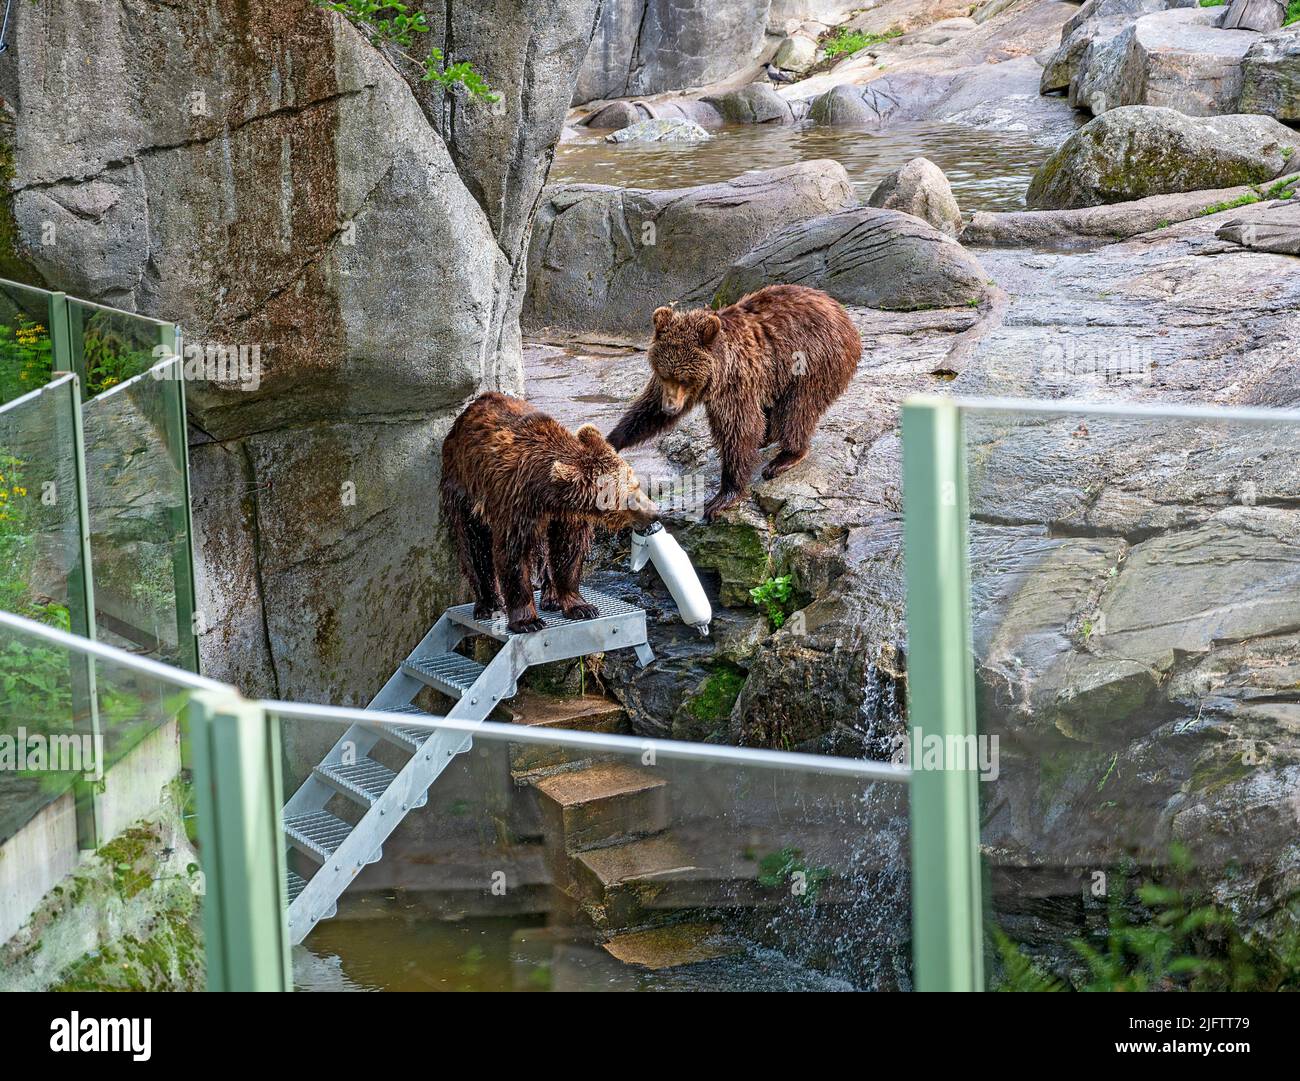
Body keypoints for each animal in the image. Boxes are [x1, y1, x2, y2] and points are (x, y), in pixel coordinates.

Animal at [440, 392, 659, 634]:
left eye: (636, 484)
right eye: (627, 498)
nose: (654, 513)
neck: (548, 496)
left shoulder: (567, 515)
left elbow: (568, 551)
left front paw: (580, 606)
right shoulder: (515, 506)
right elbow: (512, 555)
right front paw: (527, 621)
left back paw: (551, 597)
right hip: (463, 488)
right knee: (473, 542)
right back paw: (488, 604)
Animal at [607, 284, 862, 521]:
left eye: (684, 378)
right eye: (664, 374)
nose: (670, 408)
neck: (713, 377)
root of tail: (837, 308)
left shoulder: (735, 382)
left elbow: (740, 427)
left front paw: (721, 497)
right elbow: (647, 410)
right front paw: (611, 441)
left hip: (811, 360)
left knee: (797, 407)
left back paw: (786, 457)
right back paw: (768, 437)